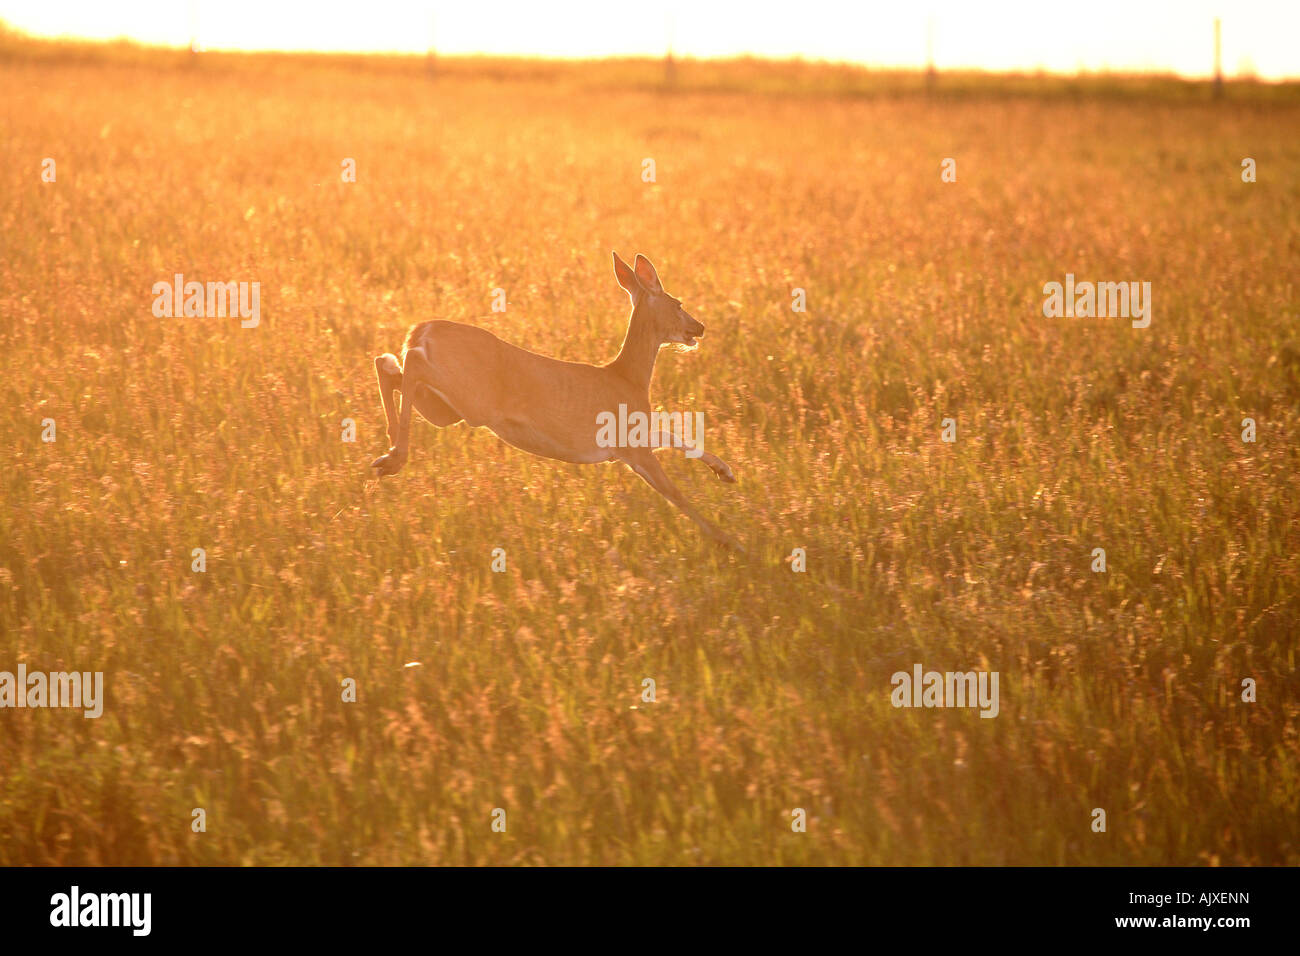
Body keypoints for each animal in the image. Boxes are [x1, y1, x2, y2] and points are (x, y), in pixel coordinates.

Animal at [370, 252, 741, 548]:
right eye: (678, 304)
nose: (700, 327)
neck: (628, 378)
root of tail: (422, 329)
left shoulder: (629, 440)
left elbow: (673, 437)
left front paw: (725, 472)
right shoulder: (630, 446)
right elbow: (676, 493)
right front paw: (730, 542)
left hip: (444, 408)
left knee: (390, 367)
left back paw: (388, 450)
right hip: (471, 400)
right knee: (405, 362)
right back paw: (393, 456)